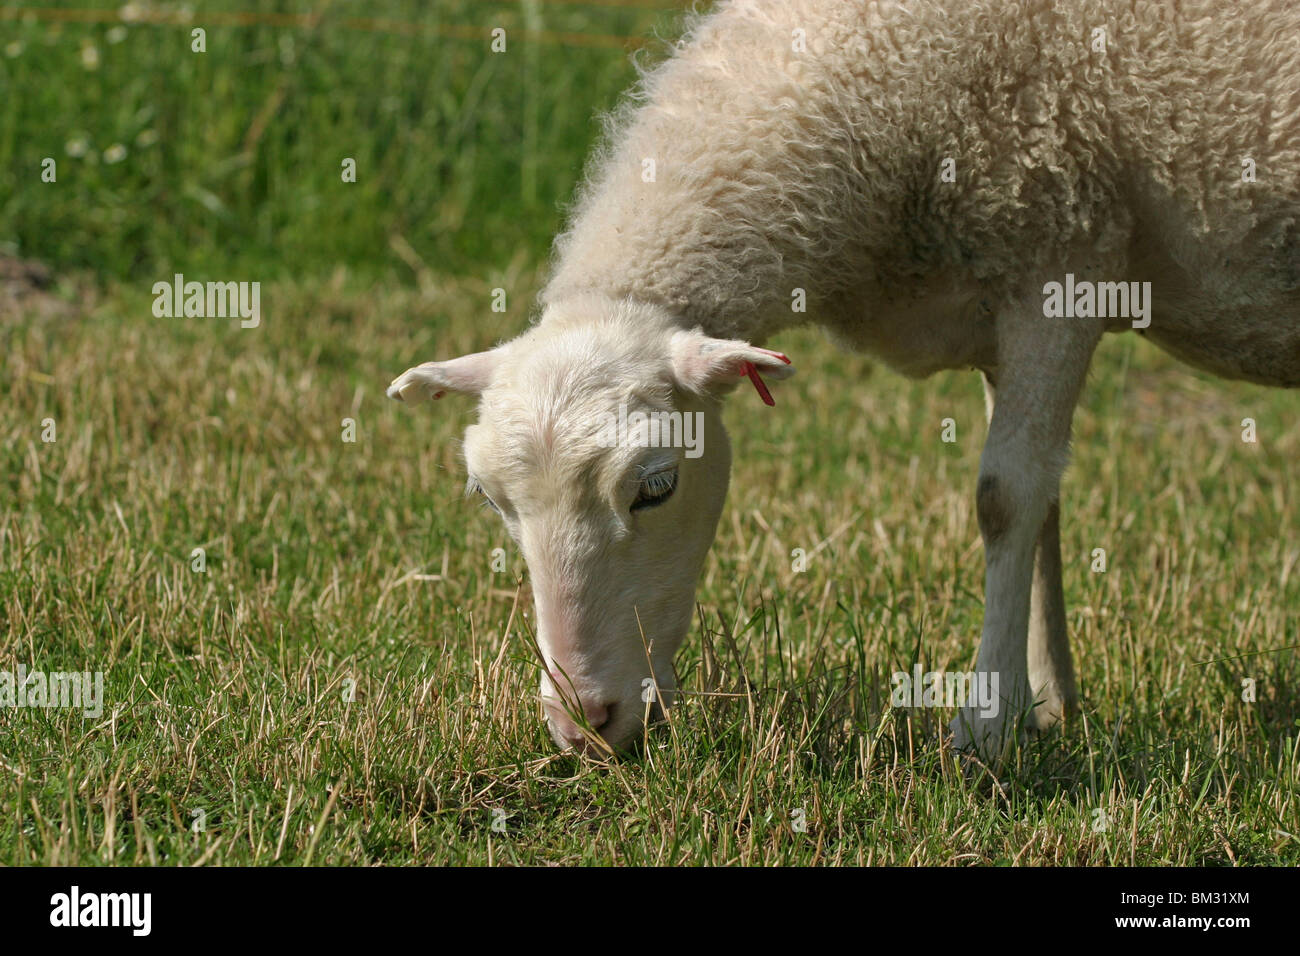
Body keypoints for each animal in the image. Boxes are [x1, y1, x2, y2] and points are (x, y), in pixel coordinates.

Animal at [389, 0, 1300, 759]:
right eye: (491, 501)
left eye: (657, 487)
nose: (582, 723)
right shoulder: (1003, 299)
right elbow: (1044, 504)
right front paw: (1048, 703)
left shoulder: (1063, 257)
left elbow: (1005, 498)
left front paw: (986, 727)